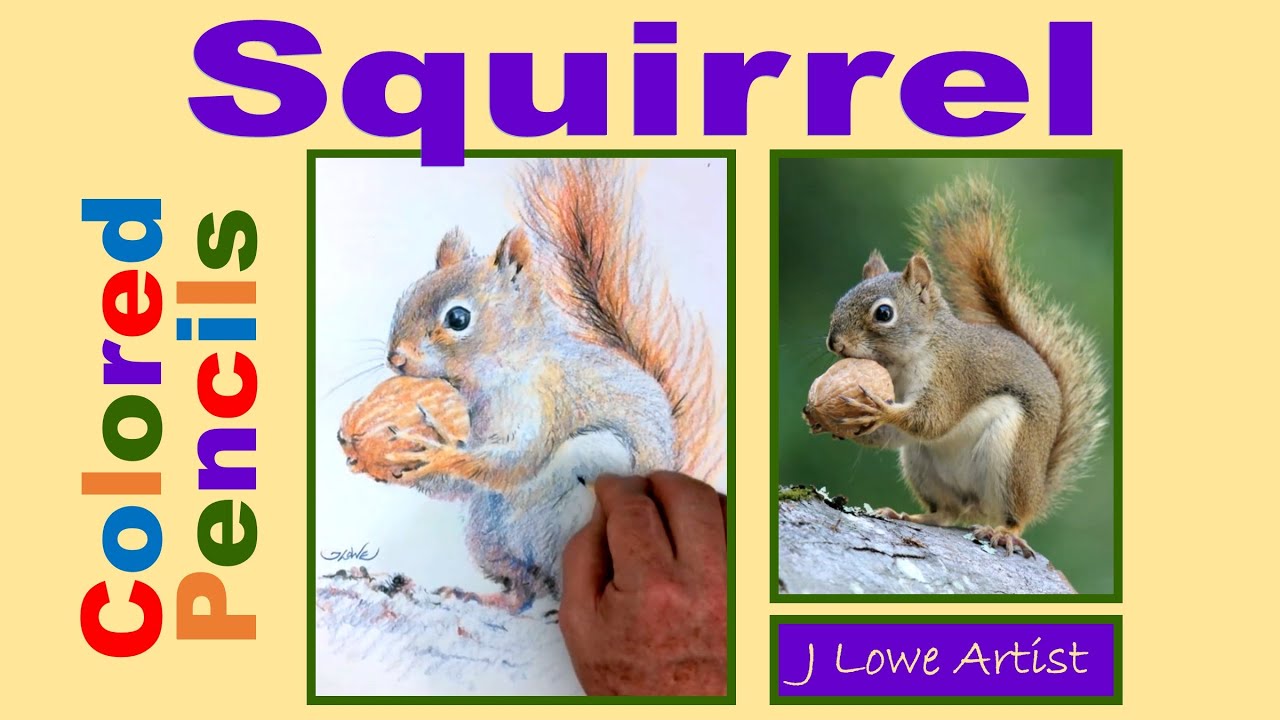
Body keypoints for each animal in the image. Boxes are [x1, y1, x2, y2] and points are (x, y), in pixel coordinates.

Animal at [373, 158, 723, 610]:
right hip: (488, 533)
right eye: (405, 298)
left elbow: (516, 460)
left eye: (458, 318)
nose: (395, 359)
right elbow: (462, 484)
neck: (491, 373)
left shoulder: (543, 402)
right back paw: (491, 597)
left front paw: (440, 452)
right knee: (523, 584)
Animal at [825, 175, 1106, 558]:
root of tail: (1038, 487)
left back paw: (1004, 532)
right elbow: (895, 435)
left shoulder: (953, 376)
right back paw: (908, 515)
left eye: (883, 313)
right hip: (921, 464)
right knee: (947, 513)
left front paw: (880, 410)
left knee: (1015, 516)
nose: (834, 343)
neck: (905, 361)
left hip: (1012, 460)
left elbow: (934, 419)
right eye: (841, 300)